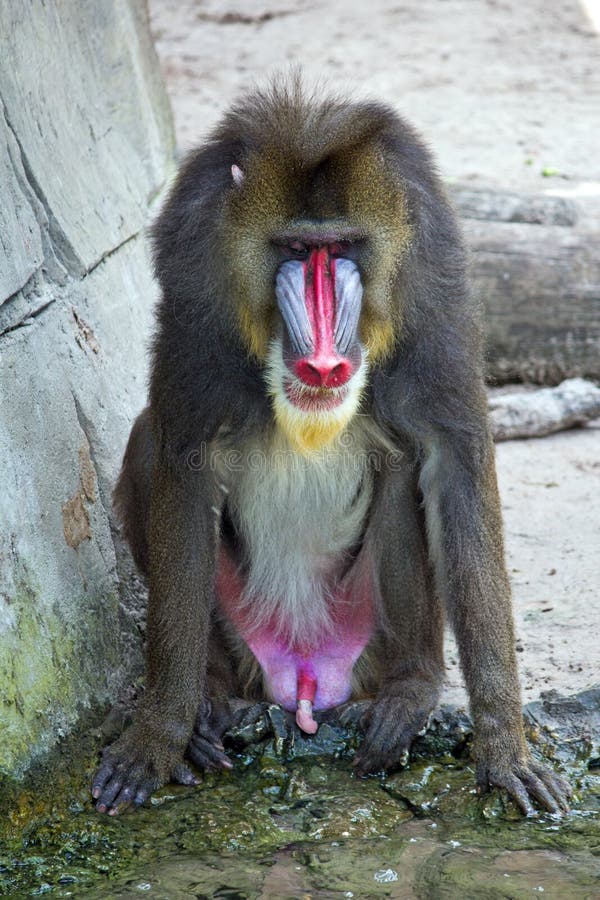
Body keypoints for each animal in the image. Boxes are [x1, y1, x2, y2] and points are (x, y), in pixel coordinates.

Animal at [92, 78, 571, 817]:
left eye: (342, 247)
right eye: (294, 250)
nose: (324, 363)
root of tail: (306, 680)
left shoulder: (433, 290)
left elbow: (456, 461)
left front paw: (505, 752)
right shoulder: (196, 296)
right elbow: (181, 456)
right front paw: (158, 735)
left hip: (367, 633)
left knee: (407, 468)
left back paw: (408, 693)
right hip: (240, 633)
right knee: (148, 442)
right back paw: (207, 706)